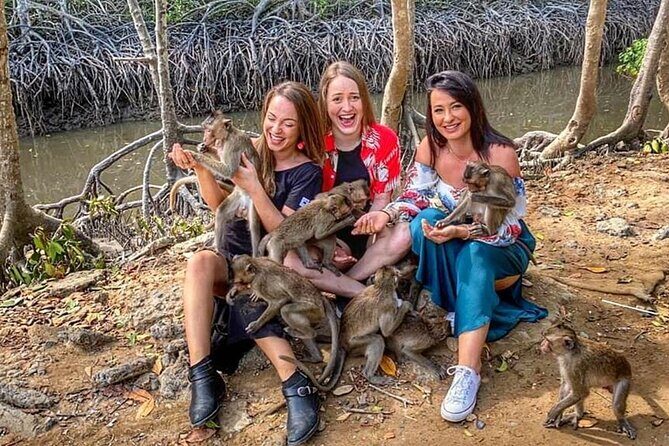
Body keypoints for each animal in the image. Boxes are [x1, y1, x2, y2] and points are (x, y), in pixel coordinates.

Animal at [170, 111, 262, 256]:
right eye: (204, 130)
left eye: (208, 130)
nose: (204, 138)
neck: (227, 136)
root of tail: (244, 198)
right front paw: (203, 148)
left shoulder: (233, 145)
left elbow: (228, 170)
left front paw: (194, 155)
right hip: (236, 197)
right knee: (221, 212)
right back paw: (216, 248)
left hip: (254, 202)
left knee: (254, 228)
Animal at [281, 265, 412, 390]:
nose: (399, 274)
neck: (381, 287)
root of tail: (341, 341)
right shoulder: (389, 304)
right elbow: (386, 331)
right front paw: (406, 305)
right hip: (354, 345)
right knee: (377, 340)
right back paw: (369, 375)